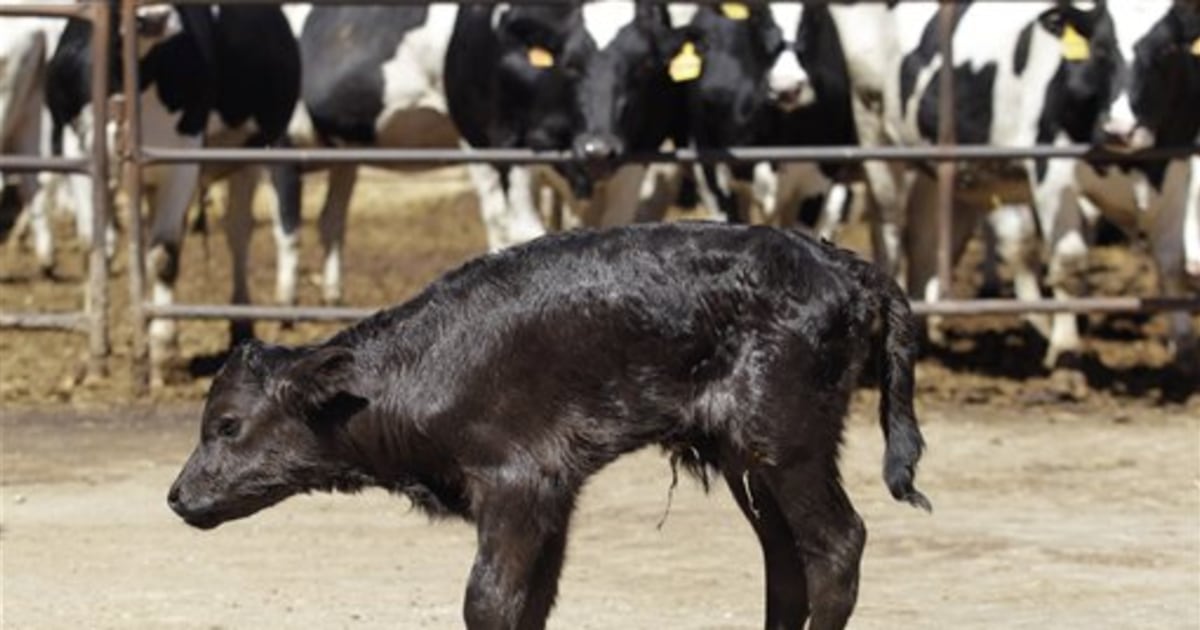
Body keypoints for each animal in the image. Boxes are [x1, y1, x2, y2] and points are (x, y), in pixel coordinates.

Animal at [46, 3, 301, 385]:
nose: (155, 18)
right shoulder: (81, 153)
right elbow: (94, 247)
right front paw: (93, 354)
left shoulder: (182, 157)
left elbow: (164, 254)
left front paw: (163, 353)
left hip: (252, 151)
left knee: (239, 233)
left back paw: (241, 322)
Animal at [168, 221, 931, 630]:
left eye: (227, 426)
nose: (177, 496)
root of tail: (844, 265)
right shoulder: (554, 493)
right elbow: (532, 600)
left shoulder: (517, 484)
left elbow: (490, 601)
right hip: (745, 456)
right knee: (785, 558)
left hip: (789, 443)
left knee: (836, 544)